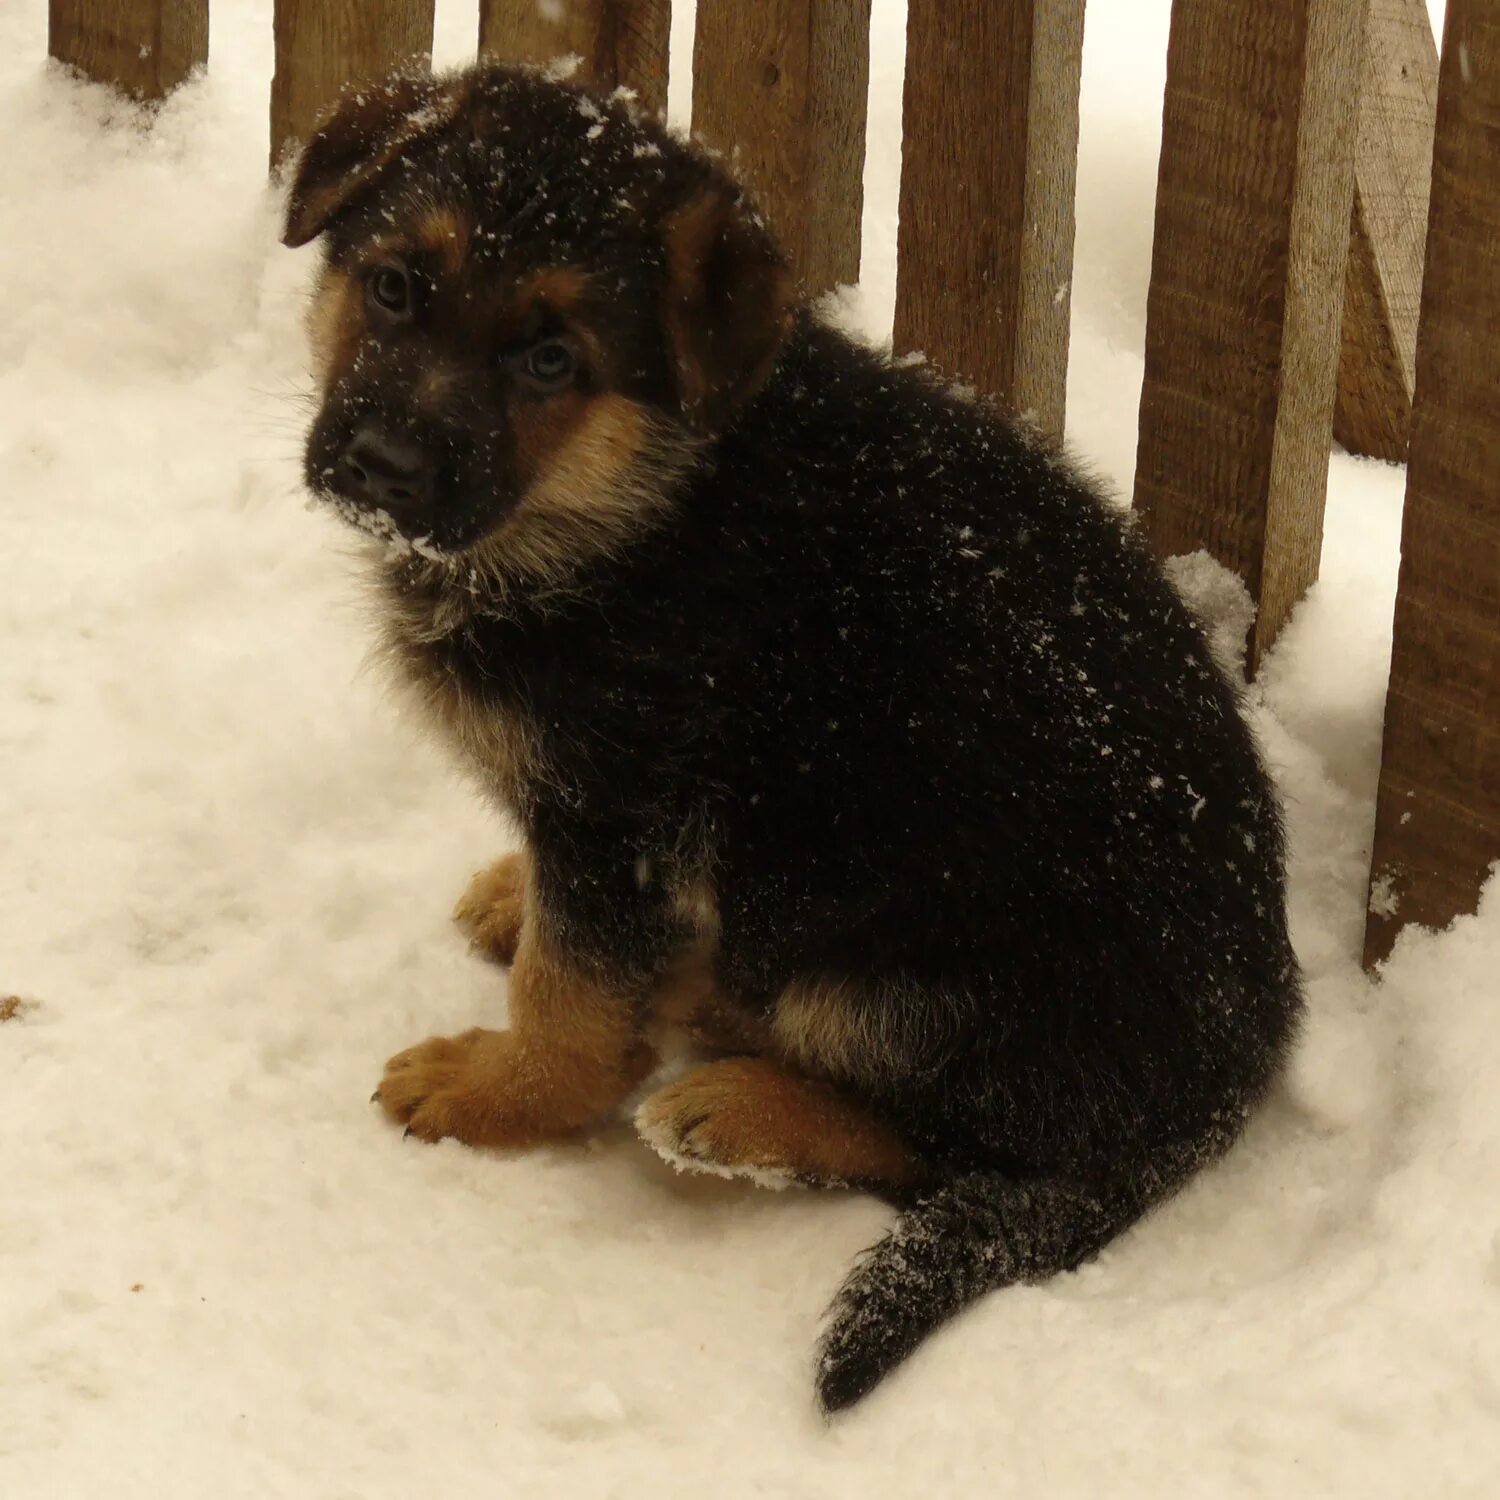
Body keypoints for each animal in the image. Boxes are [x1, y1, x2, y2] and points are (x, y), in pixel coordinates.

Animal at [282, 64, 1302, 1410]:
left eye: (552, 359)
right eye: (396, 285)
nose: (382, 467)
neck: (640, 504)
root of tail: (1246, 1059)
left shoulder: (626, 805)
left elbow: (570, 994)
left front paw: (502, 1094)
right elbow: (570, 936)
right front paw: (519, 902)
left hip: (889, 985)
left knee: (964, 1155)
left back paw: (740, 1109)